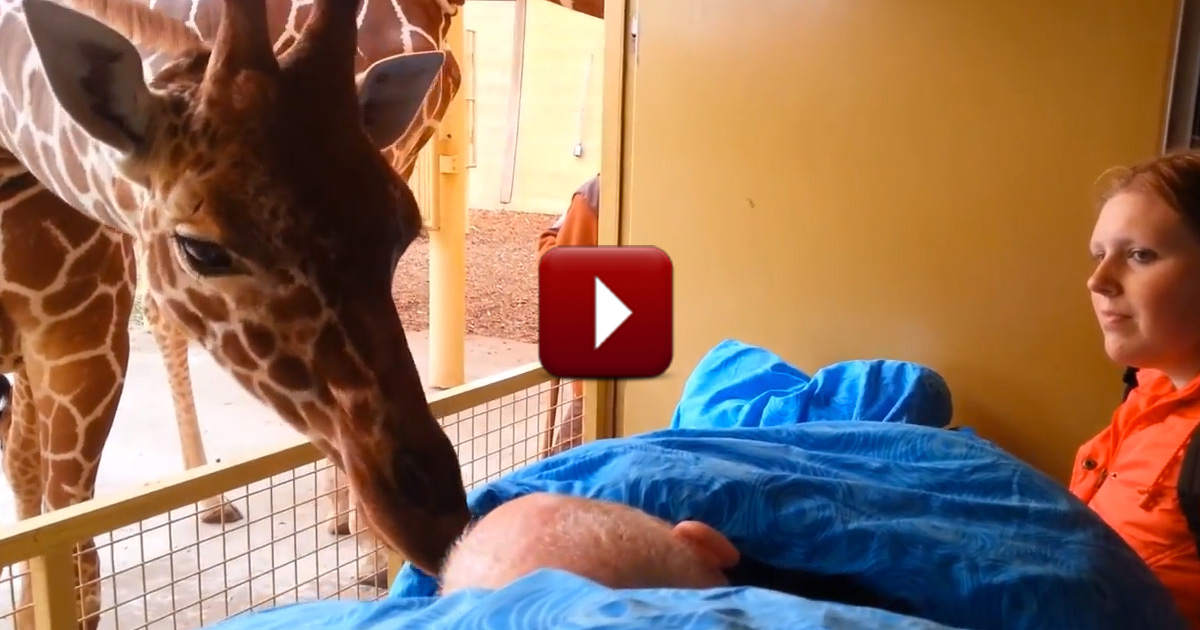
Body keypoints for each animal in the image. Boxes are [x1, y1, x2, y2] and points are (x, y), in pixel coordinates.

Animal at [0, 0, 476, 626]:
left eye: (404, 228)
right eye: (202, 249)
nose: (436, 519)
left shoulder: (79, 335)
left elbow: (65, 561)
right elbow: (63, 567)